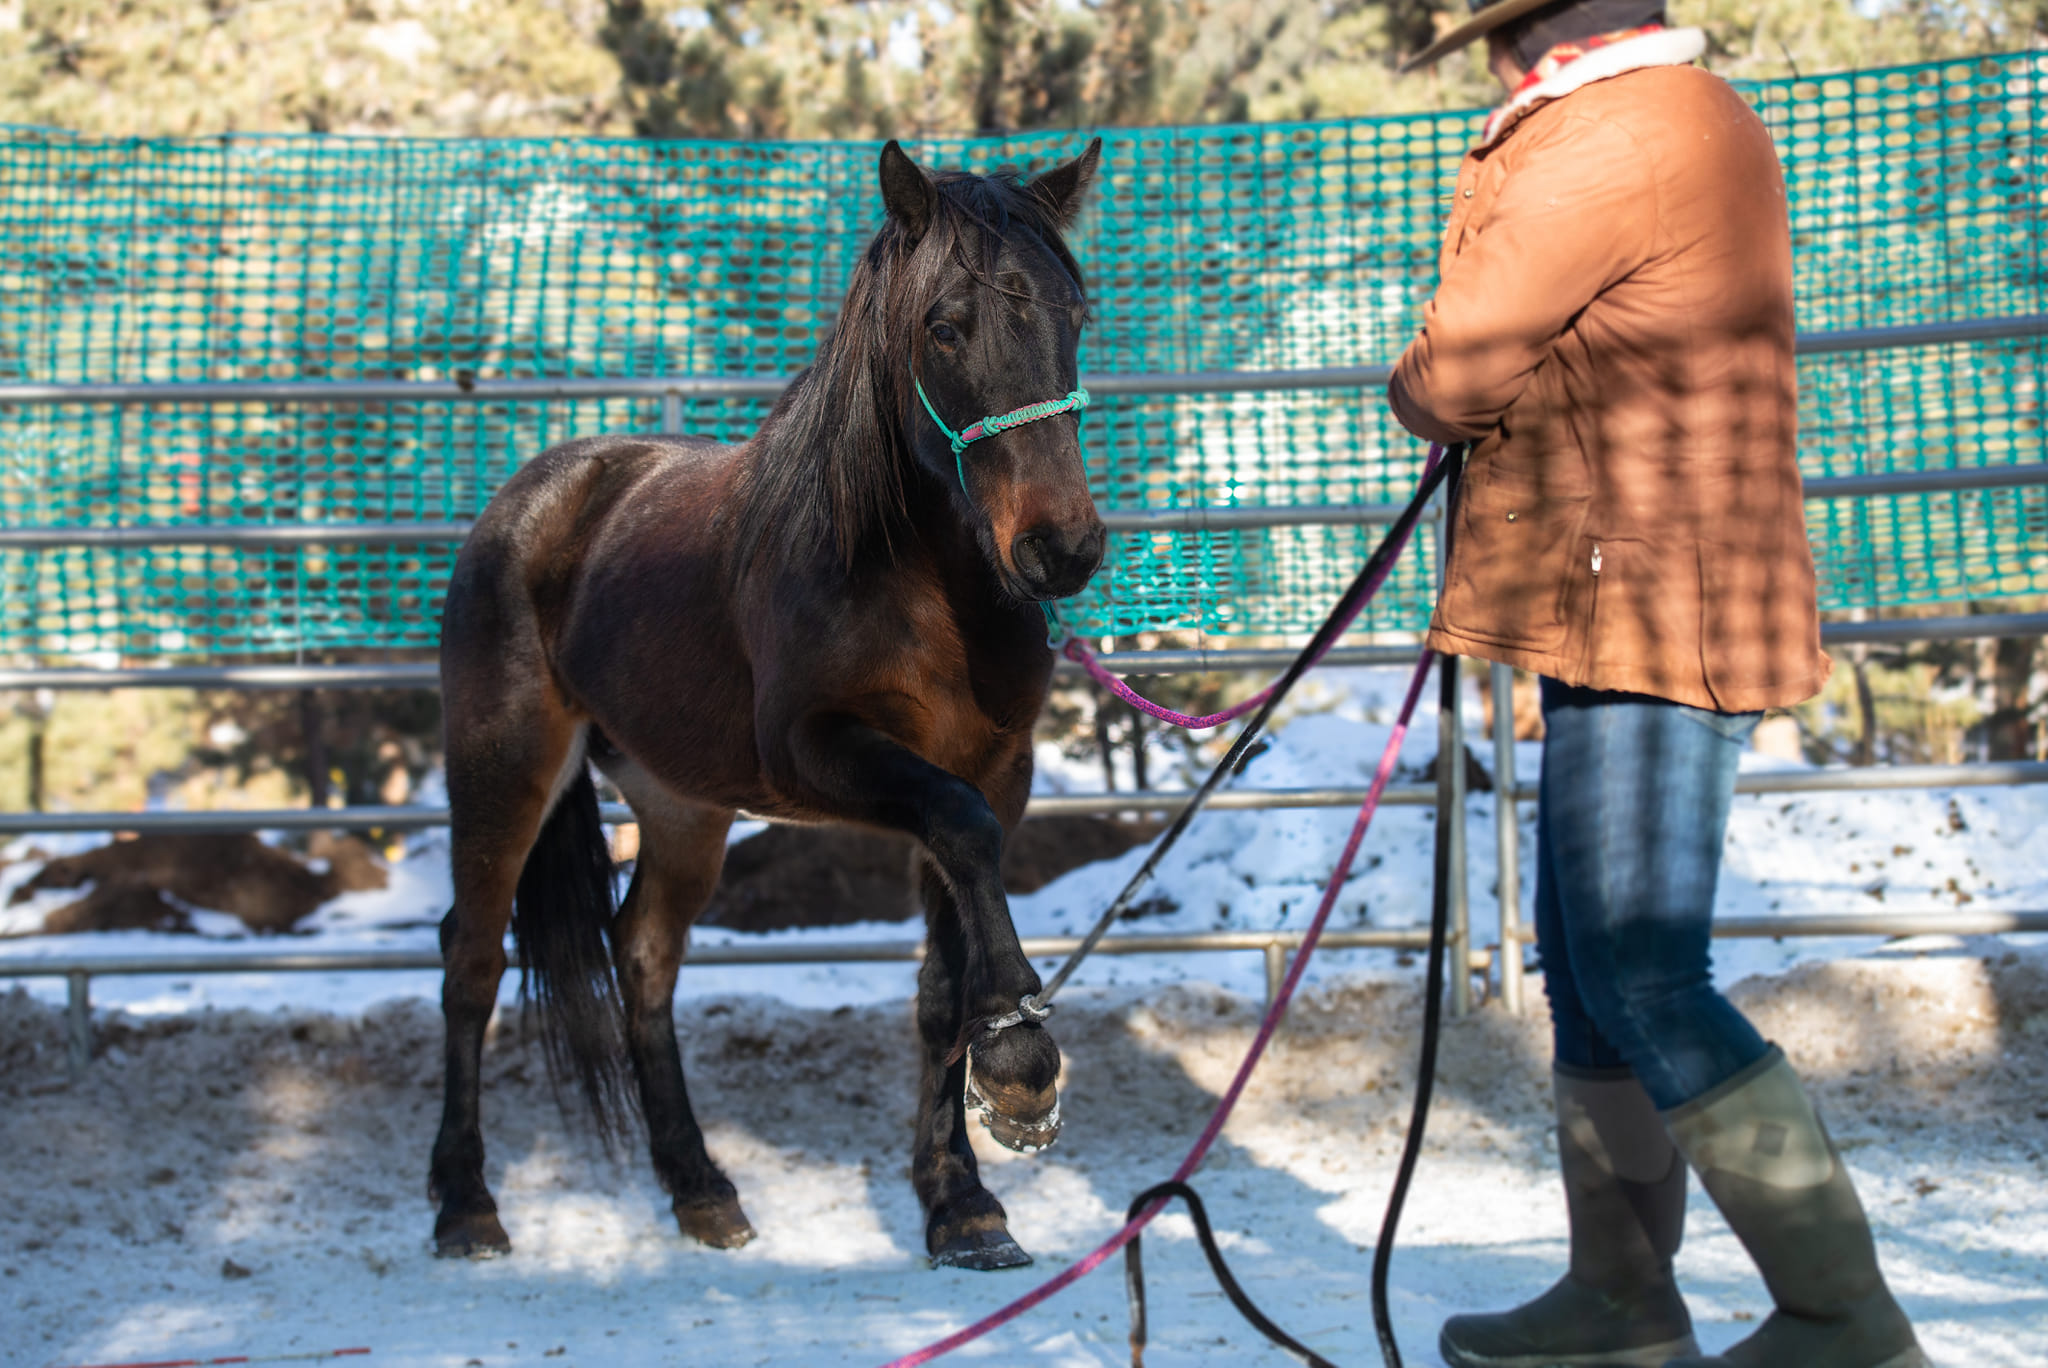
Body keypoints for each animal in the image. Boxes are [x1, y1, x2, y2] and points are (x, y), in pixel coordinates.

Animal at [428, 138, 1107, 1273]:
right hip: (504, 770)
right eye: (943, 326)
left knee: (642, 957)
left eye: (1075, 313)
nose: (1061, 549)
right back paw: (465, 1203)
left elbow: (940, 985)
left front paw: (961, 1205)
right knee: (471, 960)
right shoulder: (822, 751)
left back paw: (701, 1188)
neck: (920, 581)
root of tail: (539, 494)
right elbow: (963, 848)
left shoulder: (992, 770)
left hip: (683, 808)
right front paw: (1019, 1056)